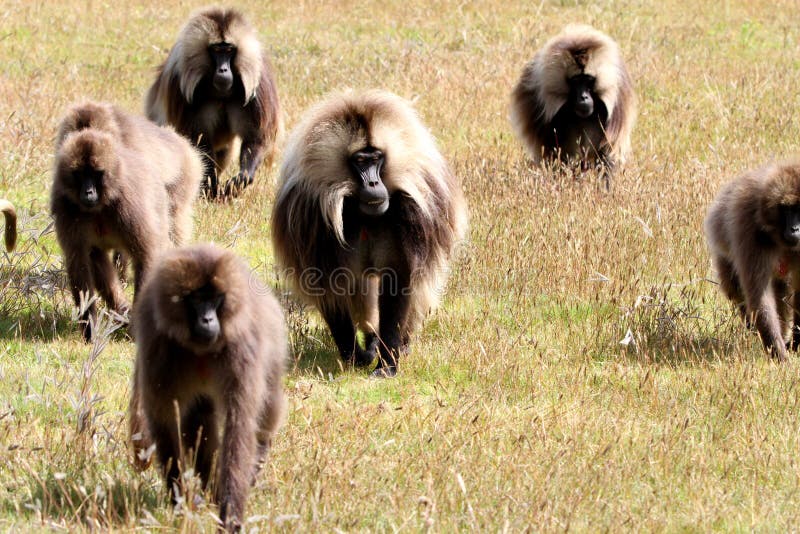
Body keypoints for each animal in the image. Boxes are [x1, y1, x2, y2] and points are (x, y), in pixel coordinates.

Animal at [51, 109, 203, 341]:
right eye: (79, 174)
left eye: (96, 174)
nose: (88, 192)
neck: (101, 205)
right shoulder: (66, 205)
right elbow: (80, 262)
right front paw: (90, 329)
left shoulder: (130, 205)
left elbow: (145, 255)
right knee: (96, 256)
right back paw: (121, 310)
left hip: (180, 184)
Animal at [129, 244, 287, 531]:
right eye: (195, 299)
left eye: (214, 299)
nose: (207, 320)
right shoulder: (159, 344)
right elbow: (164, 420)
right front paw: (179, 500)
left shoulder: (241, 345)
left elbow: (239, 425)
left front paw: (230, 515)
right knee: (198, 416)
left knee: (266, 408)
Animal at [145, 7, 282, 199]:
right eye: (216, 49)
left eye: (229, 50)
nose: (223, 70)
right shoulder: (181, 86)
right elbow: (198, 139)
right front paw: (211, 188)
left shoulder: (258, 83)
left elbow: (256, 137)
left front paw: (240, 179)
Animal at [271, 90, 468, 378]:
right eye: (360, 161)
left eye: (376, 159)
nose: (374, 183)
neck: (362, 213)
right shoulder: (313, 219)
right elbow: (328, 284)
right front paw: (356, 356)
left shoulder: (409, 213)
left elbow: (398, 280)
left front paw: (387, 365)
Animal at [705, 160, 800, 362]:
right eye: (787, 208)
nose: (795, 229)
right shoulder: (748, 228)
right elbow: (759, 295)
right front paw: (779, 354)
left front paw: (795, 346)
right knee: (737, 289)